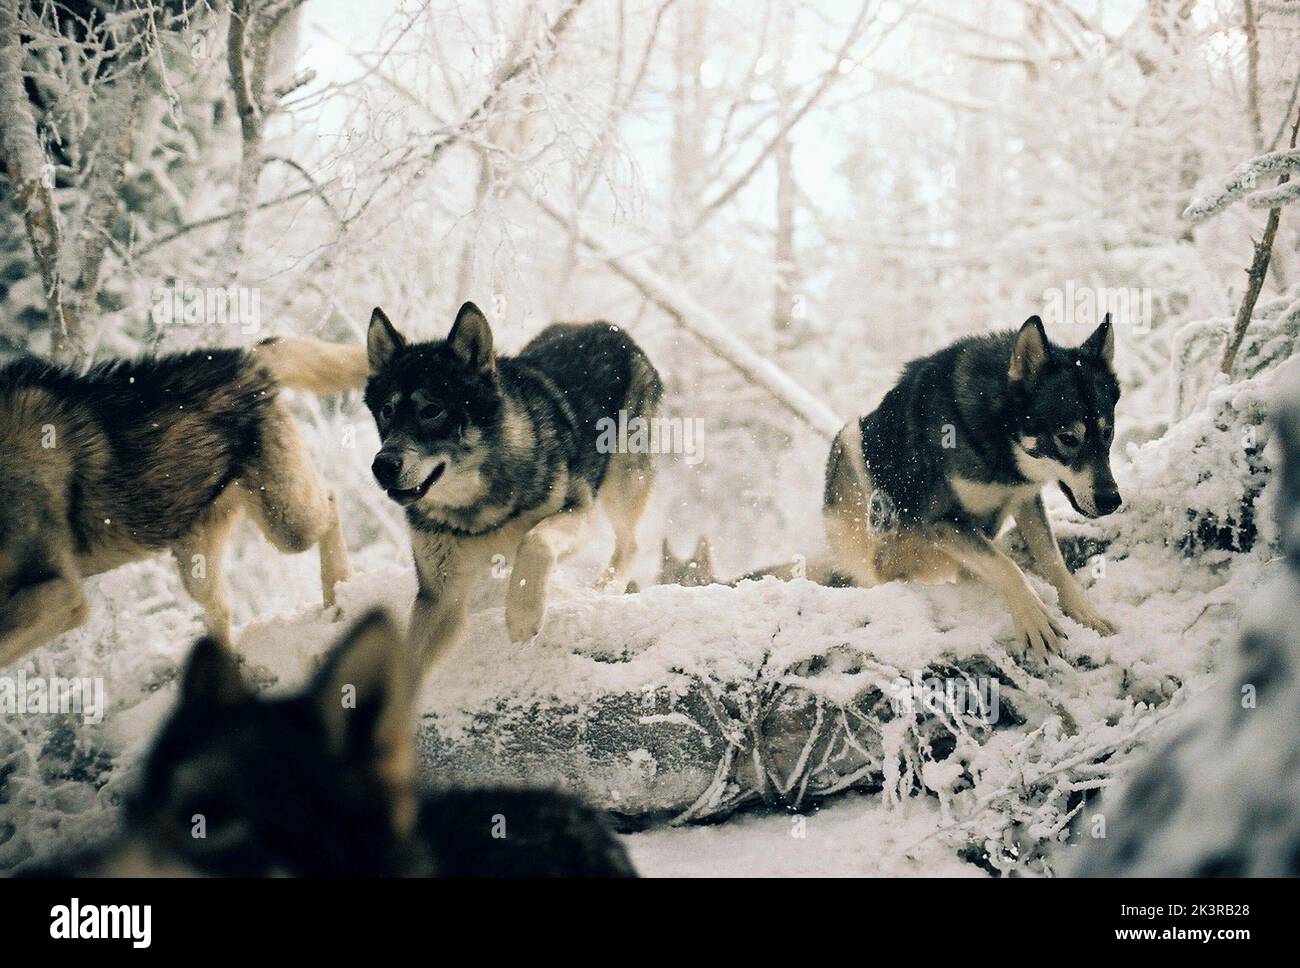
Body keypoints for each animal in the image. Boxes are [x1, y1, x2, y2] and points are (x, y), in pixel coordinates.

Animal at [0, 337, 366, 667]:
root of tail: (246, 356)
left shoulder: (63, 592)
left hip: (288, 529)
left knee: (331, 500)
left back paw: (338, 595)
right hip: (196, 565)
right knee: (220, 608)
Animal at [365, 301, 662, 666]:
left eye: (432, 410)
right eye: (387, 410)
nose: (382, 466)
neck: (477, 508)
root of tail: (602, 325)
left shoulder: (578, 511)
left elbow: (534, 541)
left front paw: (522, 618)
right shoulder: (441, 599)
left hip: (623, 482)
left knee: (629, 544)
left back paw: (605, 589)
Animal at [823, 315, 1122, 658]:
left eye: (1108, 433)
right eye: (1068, 438)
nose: (1111, 500)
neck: (998, 437)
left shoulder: (1025, 498)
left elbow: (1054, 560)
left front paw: (1085, 613)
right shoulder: (940, 522)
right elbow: (1006, 565)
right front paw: (1035, 620)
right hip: (851, 444)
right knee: (882, 564)